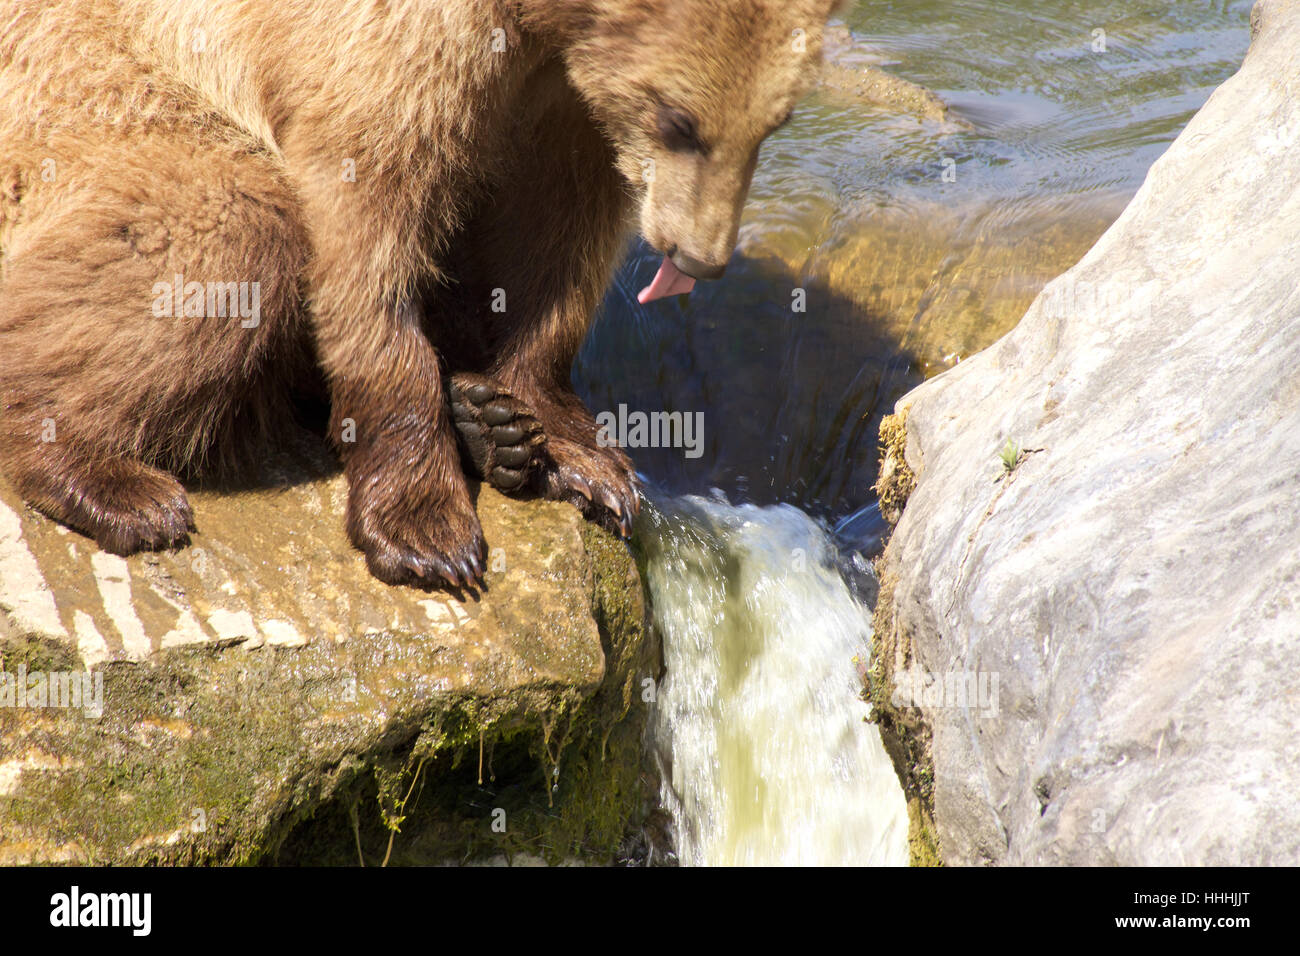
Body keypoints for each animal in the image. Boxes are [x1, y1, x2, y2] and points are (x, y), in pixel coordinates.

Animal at [0, 0, 842, 589]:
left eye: (775, 122)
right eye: (678, 119)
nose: (700, 257)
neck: (538, 21)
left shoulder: (563, 102)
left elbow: (558, 237)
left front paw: (582, 457)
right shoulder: (388, 54)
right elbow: (368, 220)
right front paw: (426, 533)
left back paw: (493, 429)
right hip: (89, 101)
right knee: (231, 228)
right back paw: (118, 486)